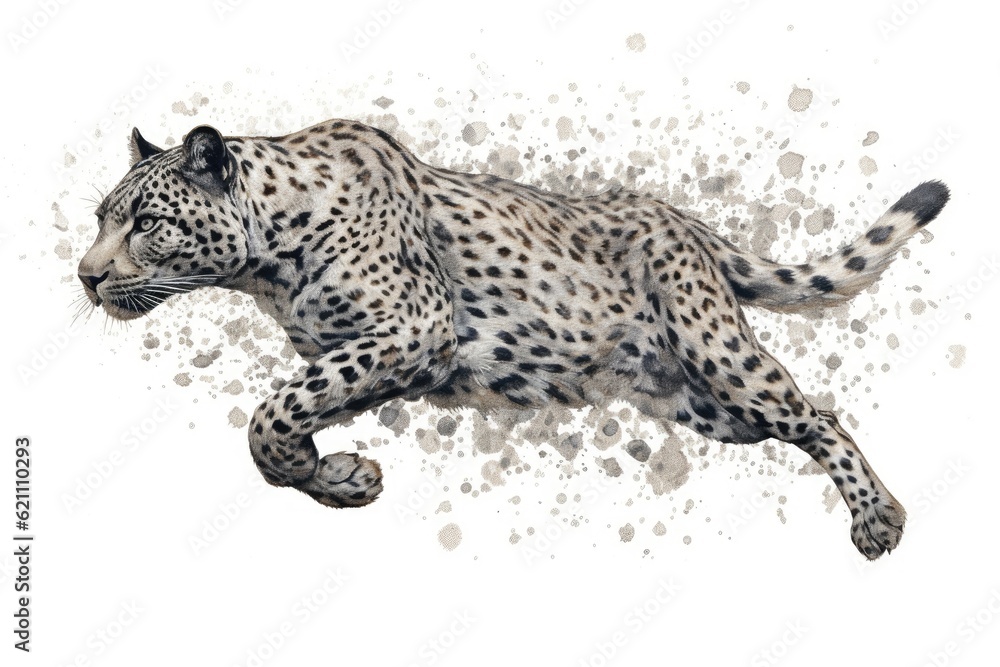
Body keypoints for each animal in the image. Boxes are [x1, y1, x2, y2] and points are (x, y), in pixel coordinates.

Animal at [77, 120, 949, 560]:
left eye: (145, 222)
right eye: (99, 219)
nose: (84, 275)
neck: (266, 258)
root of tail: (688, 222)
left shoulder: (413, 328)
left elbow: (270, 417)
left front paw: (327, 470)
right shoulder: (364, 352)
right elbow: (293, 417)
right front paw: (344, 477)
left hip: (720, 354)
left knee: (818, 414)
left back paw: (879, 518)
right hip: (702, 403)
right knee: (793, 422)